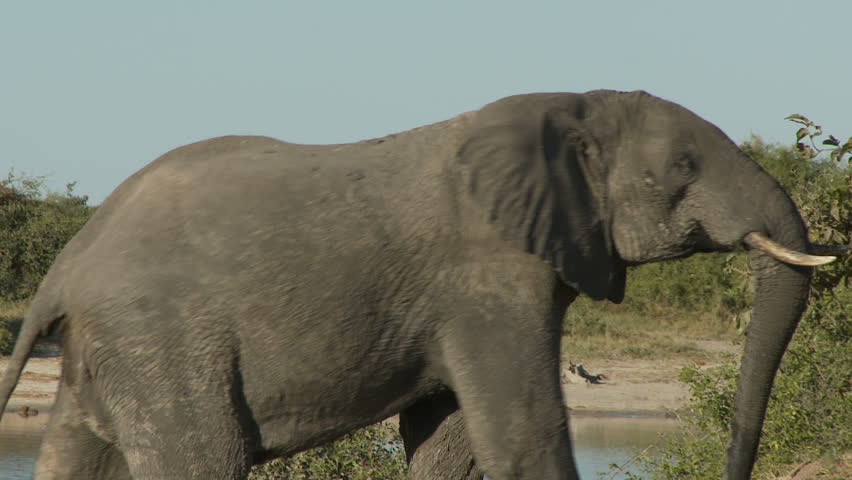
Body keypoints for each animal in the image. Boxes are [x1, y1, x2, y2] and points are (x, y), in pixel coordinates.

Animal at [0, 89, 837, 480]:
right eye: (685, 167)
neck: (566, 106)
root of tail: (64, 269)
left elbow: (450, 443)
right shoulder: (488, 277)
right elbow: (521, 432)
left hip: (108, 355)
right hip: (164, 344)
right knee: (203, 458)